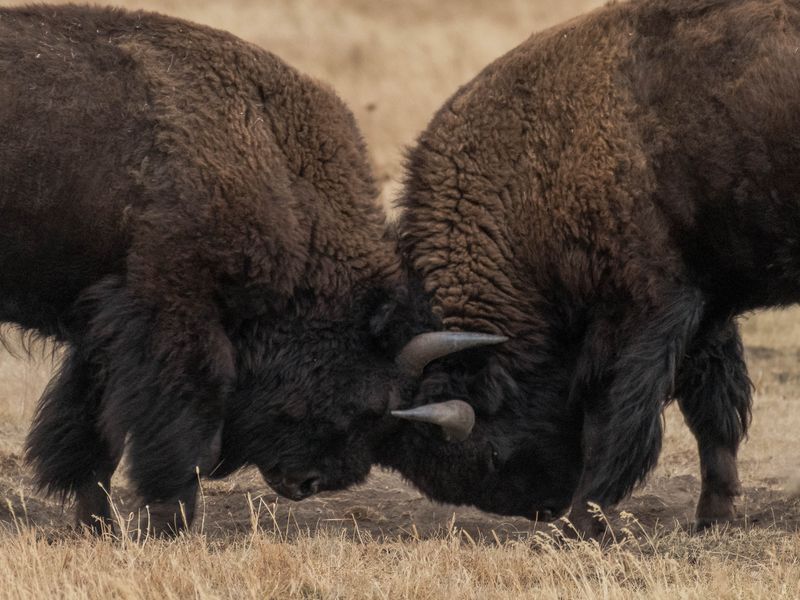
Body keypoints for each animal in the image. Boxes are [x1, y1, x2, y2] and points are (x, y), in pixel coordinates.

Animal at [0, 5, 504, 534]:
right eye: (373, 403)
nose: (307, 483)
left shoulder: (100, 329)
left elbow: (92, 438)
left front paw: (98, 526)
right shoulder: (173, 316)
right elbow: (183, 436)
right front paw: (165, 525)